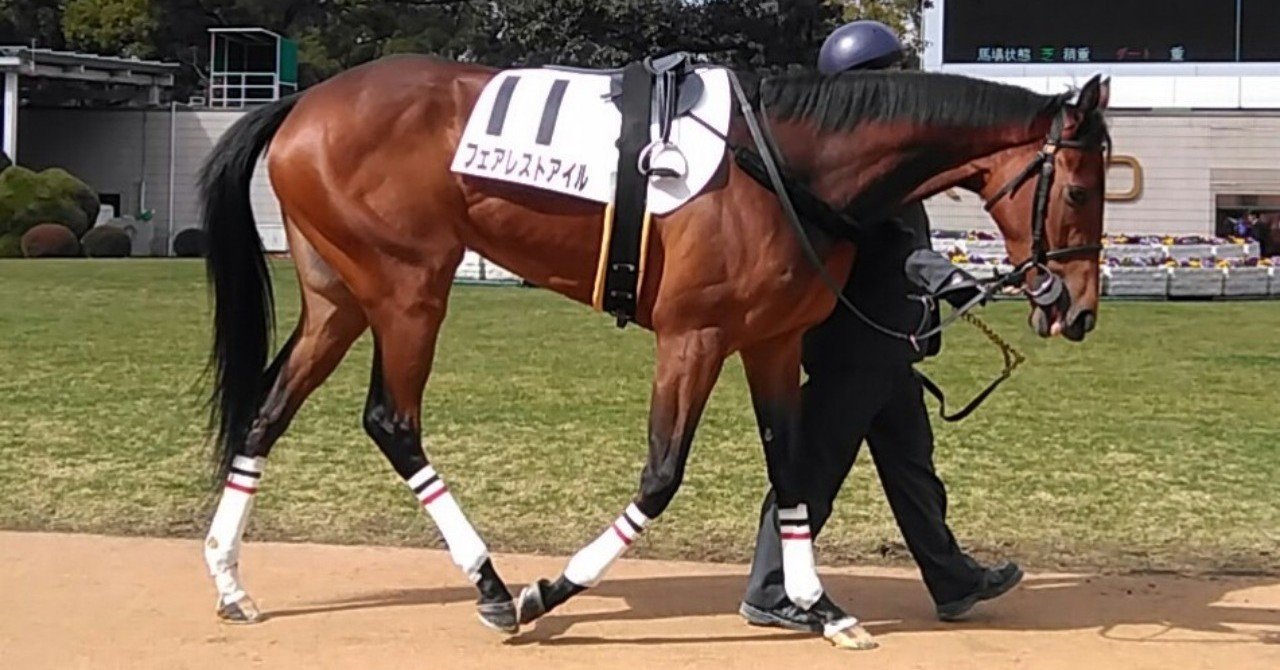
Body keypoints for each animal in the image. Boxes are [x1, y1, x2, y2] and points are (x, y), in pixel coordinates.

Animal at [197, 55, 1110, 647]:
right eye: (1078, 187)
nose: (1078, 308)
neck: (783, 159)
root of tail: (304, 101)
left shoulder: (771, 342)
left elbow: (794, 472)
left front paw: (816, 605)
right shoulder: (692, 338)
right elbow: (663, 475)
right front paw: (547, 589)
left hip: (341, 299)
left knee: (269, 411)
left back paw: (228, 576)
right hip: (409, 290)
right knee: (392, 421)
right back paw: (490, 582)